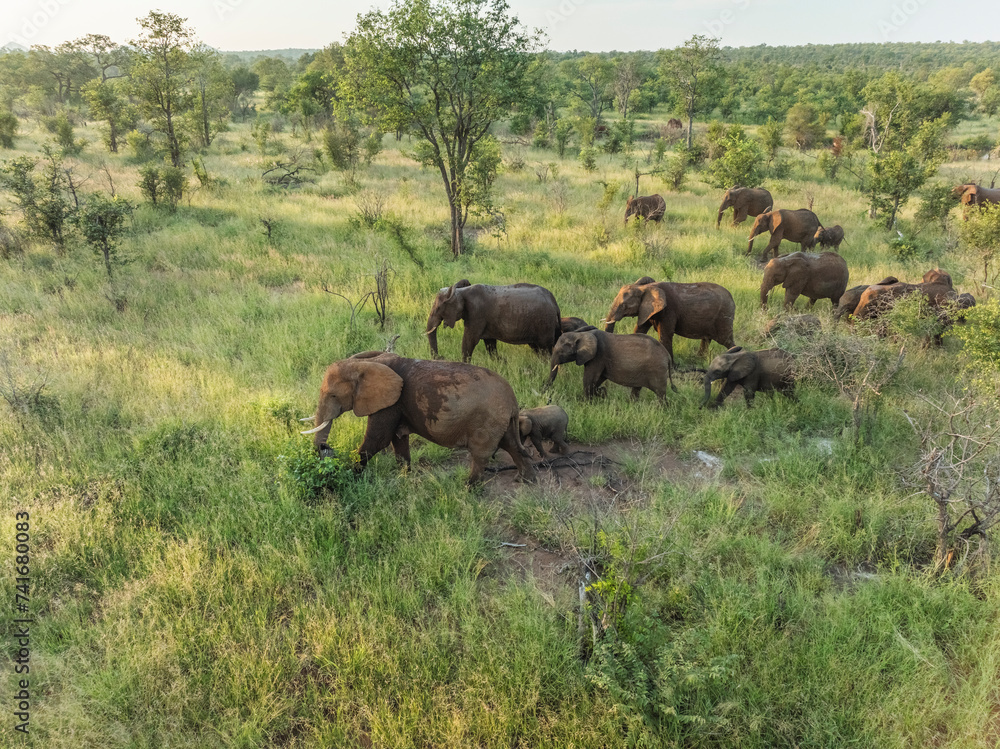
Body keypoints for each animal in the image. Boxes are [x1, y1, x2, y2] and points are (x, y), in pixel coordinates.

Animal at [301, 352, 535, 484]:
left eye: (333, 395)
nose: (325, 448)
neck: (369, 363)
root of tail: (513, 400)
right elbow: (398, 440)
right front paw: (405, 476)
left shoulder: (390, 403)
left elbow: (377, 441)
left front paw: (350, 476)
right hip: (501, 421)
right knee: (511, 445)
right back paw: (525, 481)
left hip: (487, 420)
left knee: (481, 454)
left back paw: (468, 487)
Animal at [425, 280, 561, 362]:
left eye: (438, 308)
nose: (441, 356)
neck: (461, 291)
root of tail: (554, 302)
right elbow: (490, 343)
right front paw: (501, 361)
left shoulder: (476, 315)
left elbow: (469, 341)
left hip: (544, 324)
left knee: (545, 349)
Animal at [547, 329, 675, 401]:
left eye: (561, 352)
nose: (547, 394)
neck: (581, 334)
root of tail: (667, 355)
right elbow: (597, 379)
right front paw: (601, 393)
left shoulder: (598, 356)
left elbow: (589, 379)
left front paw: (587, 403)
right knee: (636, 390)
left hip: (657, 370)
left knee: (660, 394)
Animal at [603, 277, 736, 361]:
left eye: (623, 305)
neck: (646, 288)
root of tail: (732, 298)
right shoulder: (647, 310)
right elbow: (639, 330)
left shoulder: (668, 311)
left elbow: (665, 335)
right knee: (707, 339)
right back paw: (698, 359)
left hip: (723, 316)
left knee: (726, 340)